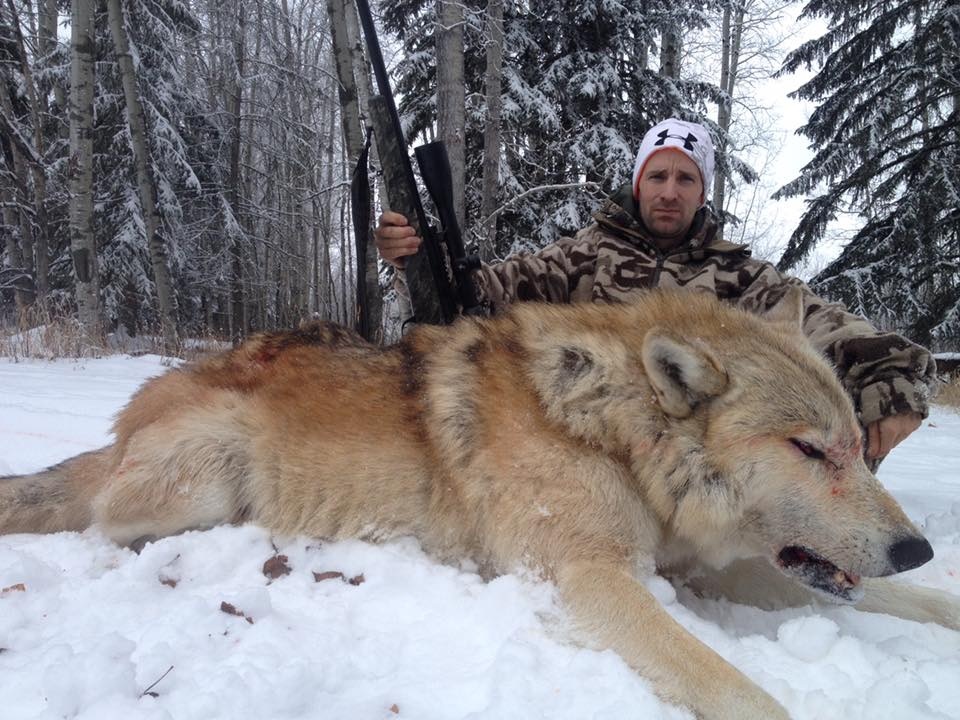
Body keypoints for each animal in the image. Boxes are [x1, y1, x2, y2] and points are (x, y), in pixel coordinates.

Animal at [1, 290, 957, 720]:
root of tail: (132, 416)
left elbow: (903, 602)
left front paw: (938, 597)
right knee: (109, 520)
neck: (614, 435)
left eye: (856, 444)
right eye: (809, 449)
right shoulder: (588, 578)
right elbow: (742, 691)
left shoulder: (702, 568)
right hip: (201, 475)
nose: (915, 546)